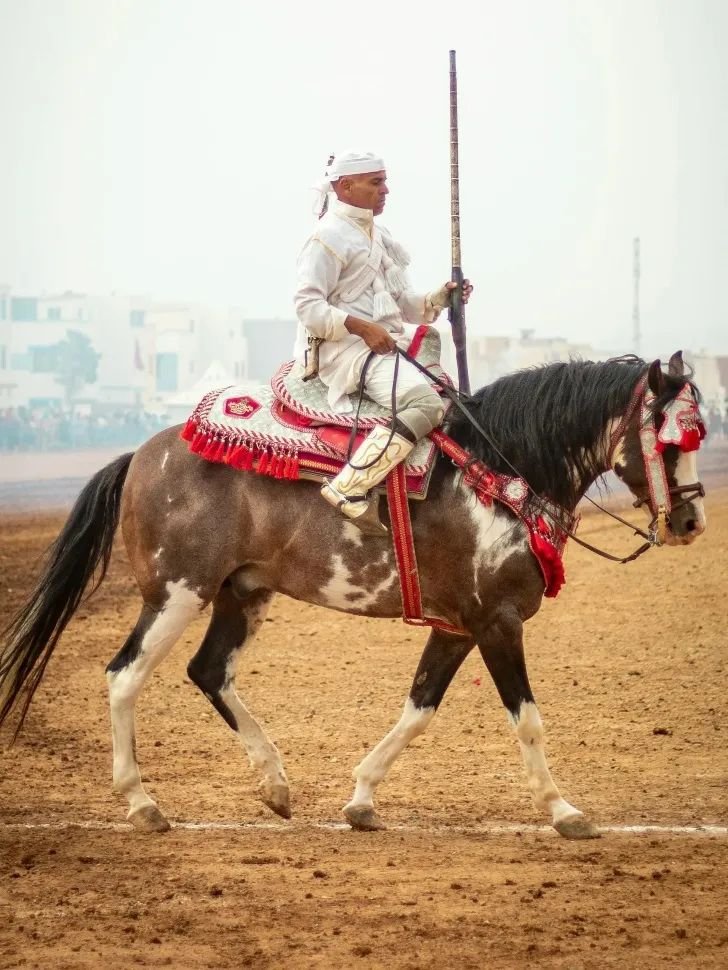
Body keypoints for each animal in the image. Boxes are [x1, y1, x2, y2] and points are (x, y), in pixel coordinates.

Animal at [0, 351, 706, 839]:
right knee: (125, 676)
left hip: (242, 592)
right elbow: (527, 719)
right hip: (176, 593)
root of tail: (143, 454)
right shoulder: (498, 622)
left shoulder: (457, 627)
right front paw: (562, 810)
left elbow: (418, 709)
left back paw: (274, 782)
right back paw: (142, 803)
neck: (500, 475)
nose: (691, 521)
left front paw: (363, 798)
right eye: (671, 438)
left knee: (208, 671)